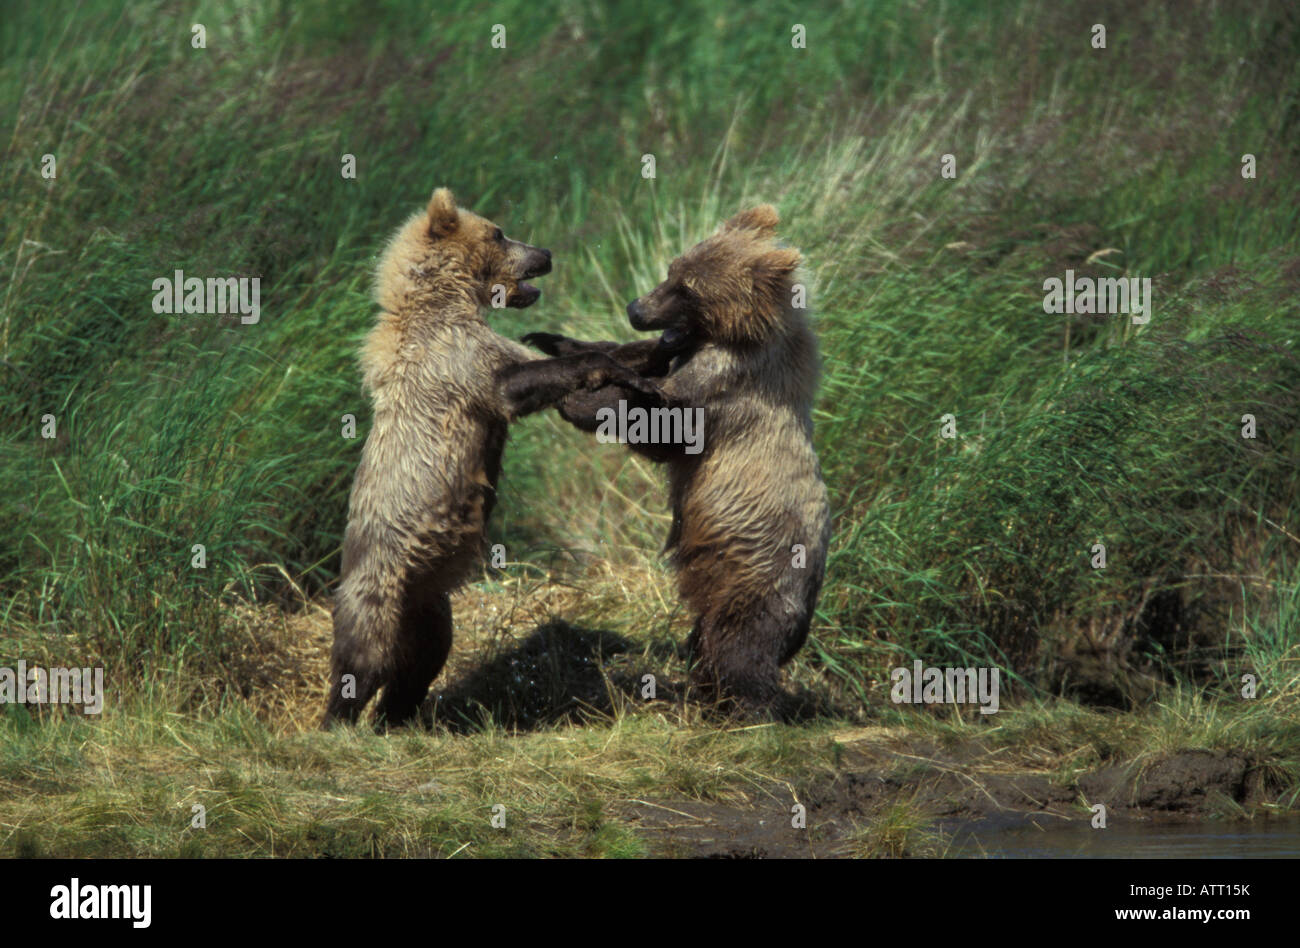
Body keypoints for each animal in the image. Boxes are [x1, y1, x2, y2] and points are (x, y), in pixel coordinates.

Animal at [323, 188, 656, 728]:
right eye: (500, 233)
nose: (545, 252)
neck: (444, 299)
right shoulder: (457, 360)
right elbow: (518, 384)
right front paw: (610, 366)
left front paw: (644, 349)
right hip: (376, 591)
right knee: (363, 660)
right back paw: (339, 719)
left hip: (428, 609)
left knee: (421, 663)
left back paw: (396, 719)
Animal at [512, 205, 832, 714]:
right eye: (672, 270)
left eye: (689, 288)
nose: (635, 308)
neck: (735, 336)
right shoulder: (680, 350)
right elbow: (632, 355)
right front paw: (553, 340)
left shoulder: (729, 388)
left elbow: (663, 427)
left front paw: (583, 398)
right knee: (705, 640)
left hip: (759, 574)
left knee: (739, 645)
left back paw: (749, 705)